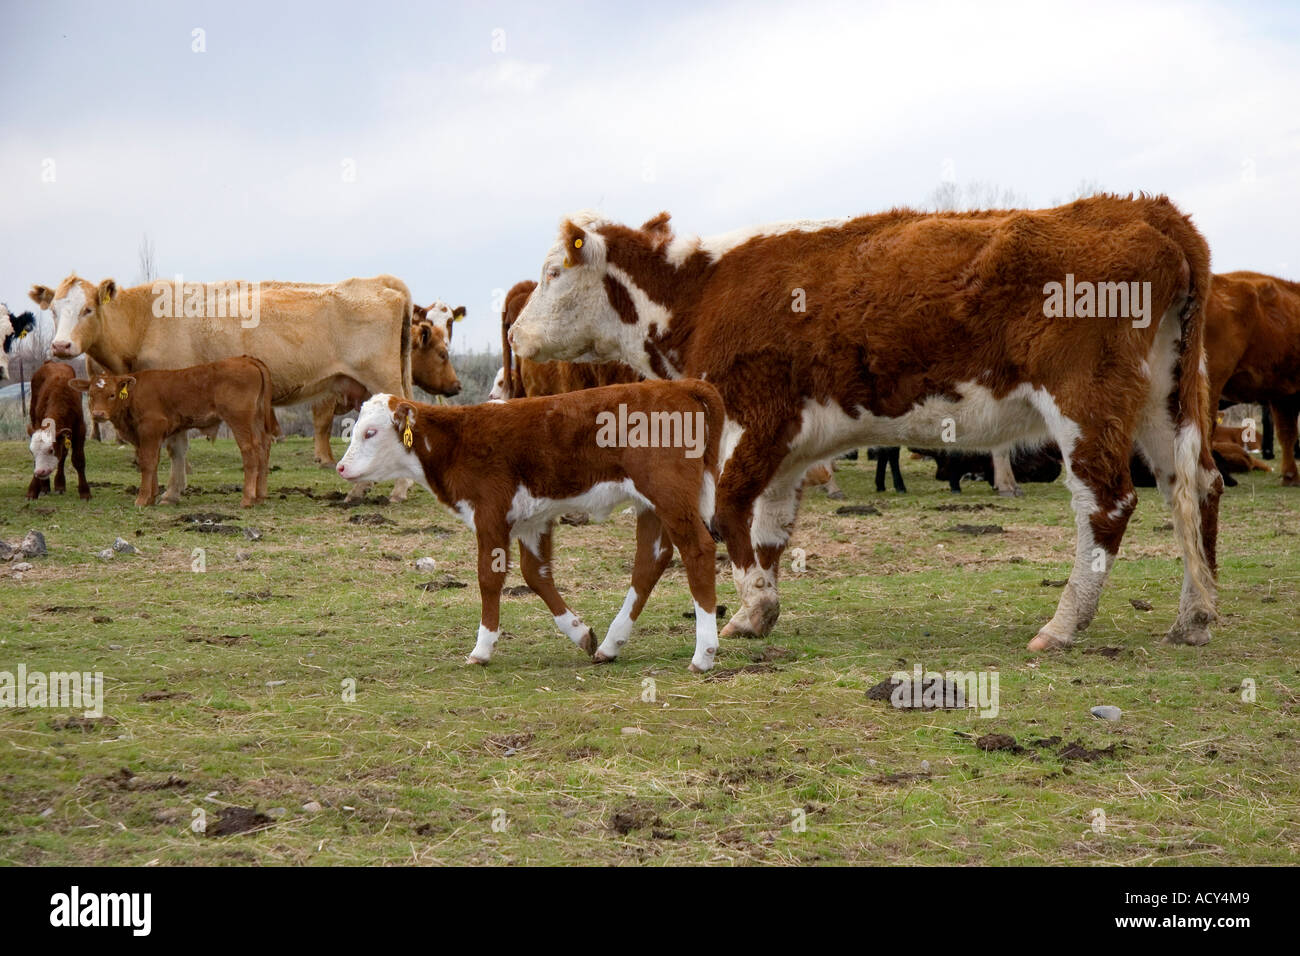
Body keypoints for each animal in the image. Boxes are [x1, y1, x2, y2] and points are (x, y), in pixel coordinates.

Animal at [26, 361, 90, 500]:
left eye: (51, 450)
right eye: (32, 451)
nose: (40, 472)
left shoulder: (80, 428)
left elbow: (78, 459)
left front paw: (85, 492)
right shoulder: (38, 423)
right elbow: (35, 462)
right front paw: (33, 490)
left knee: (63, 455)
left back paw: (60, 485)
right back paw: (45, 487)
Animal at [71, 356, 277, 508]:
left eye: (112, 394)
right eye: (91, 395)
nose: (98, 414)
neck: (134, 394)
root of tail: (246, 359)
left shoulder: (151, 428)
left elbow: (147, 462)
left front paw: (142, 499)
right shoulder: (148, 435)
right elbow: (153, 462)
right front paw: (151, 497)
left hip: (240, 421)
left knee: (250, 451)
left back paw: (247, 499)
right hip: (257, 421)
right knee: (263, 447)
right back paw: (260, 497)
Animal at [335, 381, 724, 671]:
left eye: (370, 432)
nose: (340, 467)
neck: (457, 441)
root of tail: (681, 386)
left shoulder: (490, 513)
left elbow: (489, 578)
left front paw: (482, 649)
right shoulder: (531, 521)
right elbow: (536, 575)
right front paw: (580, 633)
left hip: (668, 494)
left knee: (697, 549)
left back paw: (703, 653)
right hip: (650, 504)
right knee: (650, 561)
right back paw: (611, 645)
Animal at [508, 198, 1223, 651]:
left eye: (552, 272)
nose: (514, 335)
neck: (700, 292)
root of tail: (1142, 209)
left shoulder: (753, 417)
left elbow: (729, 509)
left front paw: (753, 605)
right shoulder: (790, 447)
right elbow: (770, 527)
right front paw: (757, 610)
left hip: (1085, 402)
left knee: (1108, 503)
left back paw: (1064, 626)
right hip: (1164, 400)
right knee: (1196, 487)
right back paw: (1195, 615)